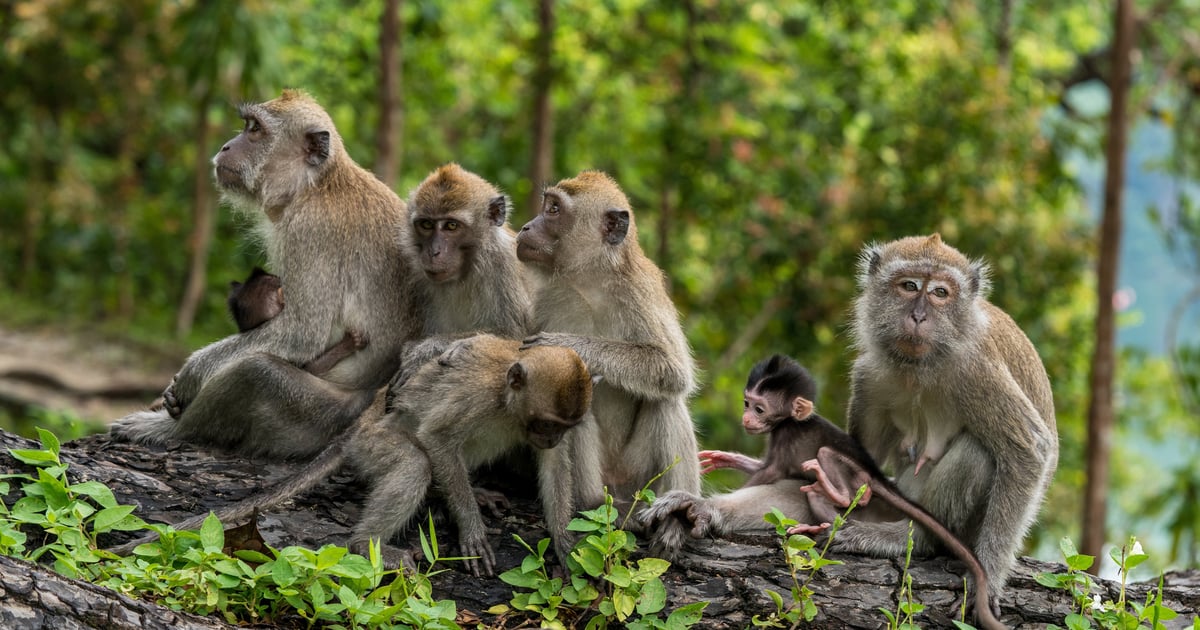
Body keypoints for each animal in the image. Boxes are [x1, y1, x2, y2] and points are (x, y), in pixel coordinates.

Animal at [112, 334, 599, 579]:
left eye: (560, 428)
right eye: (546, 424)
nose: (551, 439)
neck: (507, 401)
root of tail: (357, 428)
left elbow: (554, 470)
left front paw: (563, 537)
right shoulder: (480, 398)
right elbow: (438, 439)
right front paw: (472, 530)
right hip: (370, 444)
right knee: (414, 463)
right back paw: (365, 544)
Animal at [516, 170, 701, 507]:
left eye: (553, 209)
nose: (526, 226)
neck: (590, 280)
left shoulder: (642, 291)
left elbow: (672, 368)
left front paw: (569, 344)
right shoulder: (547, 297)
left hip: (641, 478)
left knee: (666, 400)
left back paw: (682, 507)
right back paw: (592, 501)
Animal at [639, 354, 1006, 629]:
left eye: (759, 409)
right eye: (746, 403)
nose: (747, 419)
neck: (789, 421)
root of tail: (878, 477)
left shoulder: (787, 436)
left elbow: (768, 474)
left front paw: (697, 504)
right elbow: (761, 469)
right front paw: (725, 460)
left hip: (856, 476)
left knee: (832, 466)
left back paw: (831, 488)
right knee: (817, 500)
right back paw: (822, 522)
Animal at [828, 233, 1057, 604]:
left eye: (940, 293)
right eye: (909, 286)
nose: (919, 316)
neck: (920, 367)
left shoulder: (976, 370)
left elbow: (1029, 449)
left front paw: (989, 579)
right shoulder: (868, 375)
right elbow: (864, 457)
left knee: (977, 453)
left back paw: (917, 538)